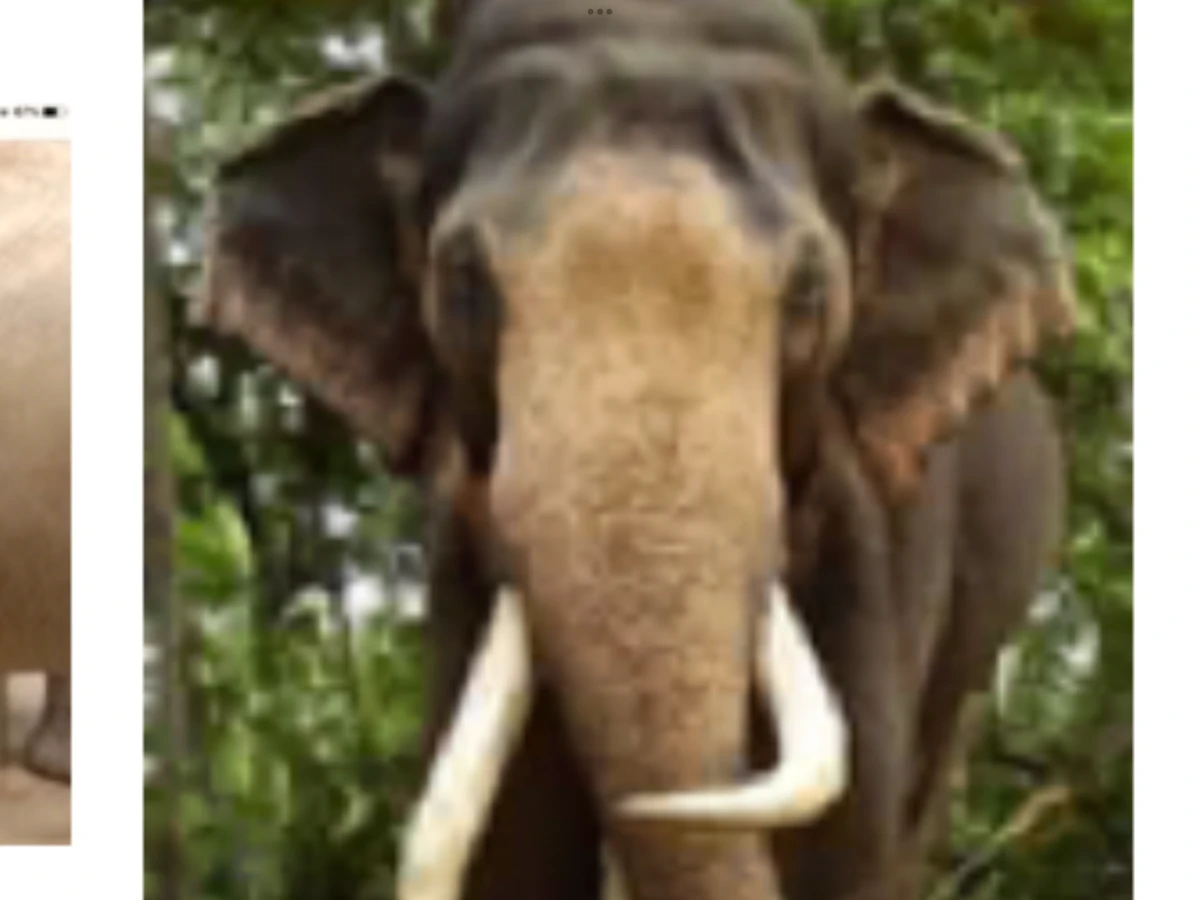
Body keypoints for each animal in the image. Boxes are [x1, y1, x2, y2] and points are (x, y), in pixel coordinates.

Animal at [196, 1, 1074, 898]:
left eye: (810, 292)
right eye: (463, 280)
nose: (661, 798)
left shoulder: (877, 520)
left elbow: (839, 841)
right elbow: (511, 846)